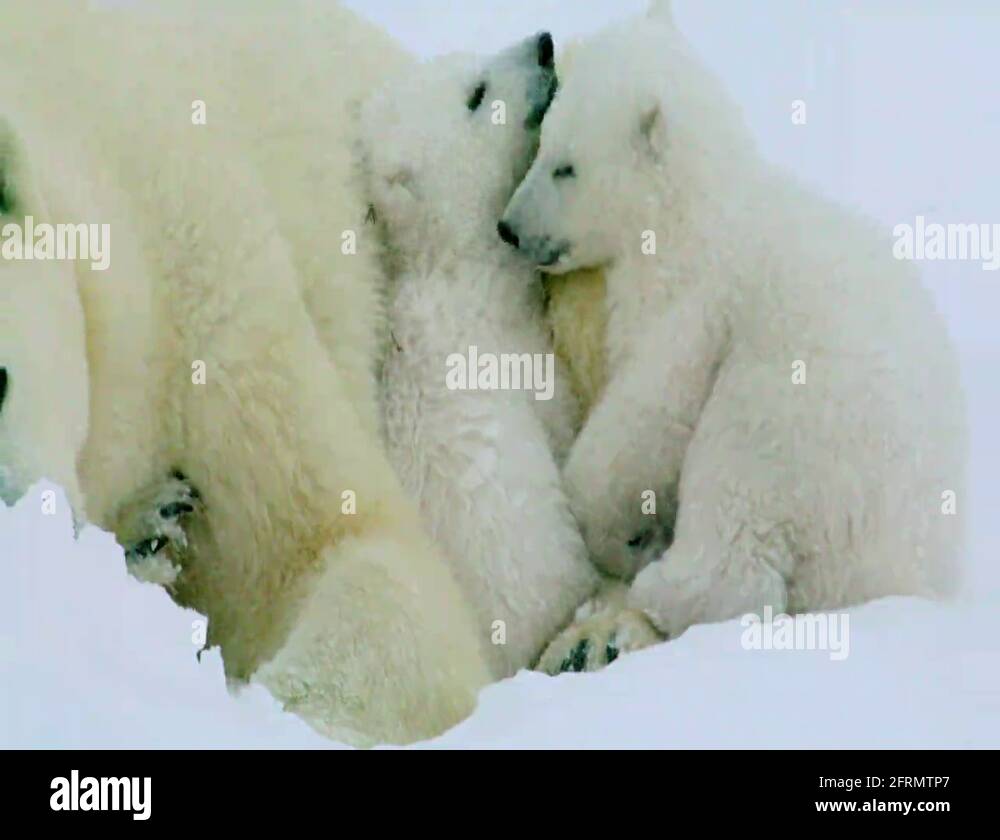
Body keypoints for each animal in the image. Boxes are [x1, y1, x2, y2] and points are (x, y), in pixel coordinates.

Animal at [358, 33, 600, 678]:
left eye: (473, 62)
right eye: (476, 93)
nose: (543, 45)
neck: (456, 265)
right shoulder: (517, 348)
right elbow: (563, 422)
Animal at [499, 0, 968, 671]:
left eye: (566, 165)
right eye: (541, 145)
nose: (509, 227)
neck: (696, 206)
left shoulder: (693, 292)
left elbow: (646, 412)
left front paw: (607, 528)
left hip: (798, 418)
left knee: (735, 500)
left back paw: (662, 585)